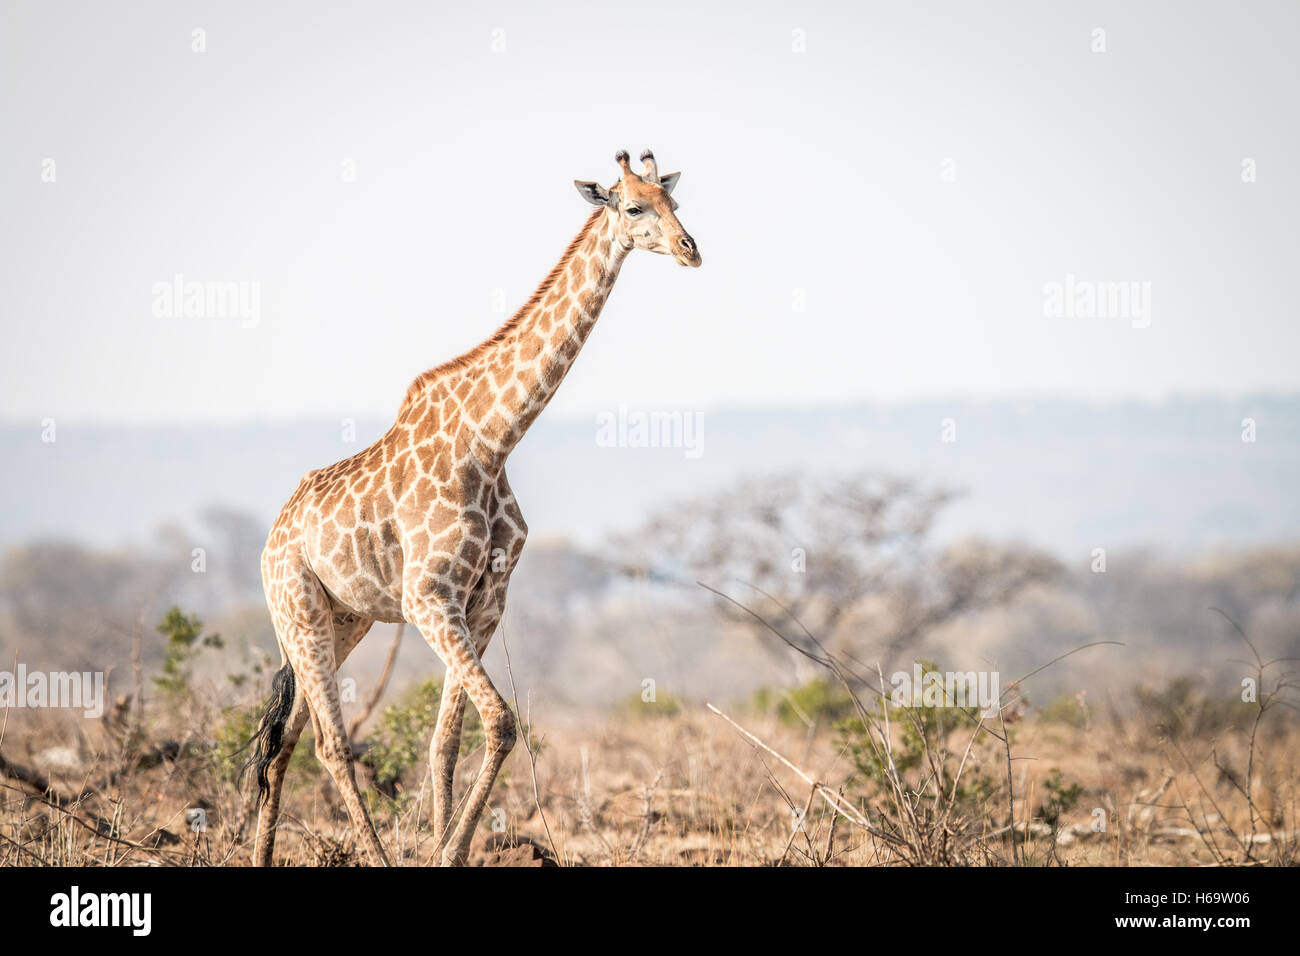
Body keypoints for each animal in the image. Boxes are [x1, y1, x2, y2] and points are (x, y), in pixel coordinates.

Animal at [248, 149, 700, 867]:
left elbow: (449, 740)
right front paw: (444, 850)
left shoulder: (485, 599)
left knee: (283, 741)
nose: (691, 249)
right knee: (329, 744)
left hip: (343, 619)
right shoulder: (430, 598)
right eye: (634, 207)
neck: (492, 439)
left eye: (675, 202)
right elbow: (503, 721)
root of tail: (272, 539)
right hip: (297, 610)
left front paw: (447, 849)